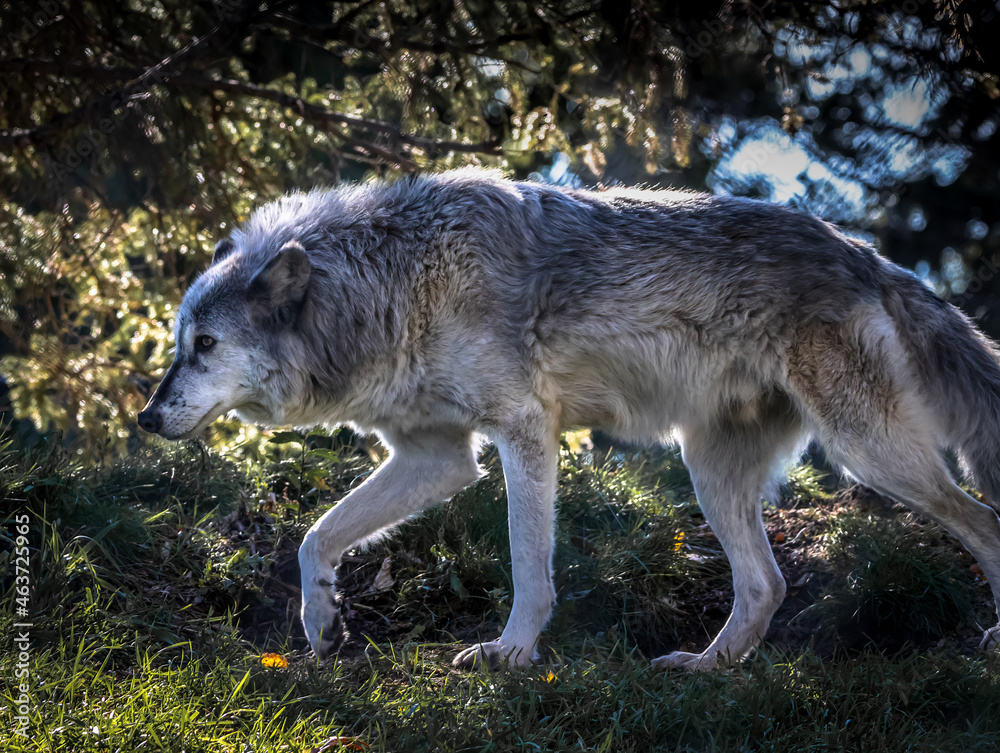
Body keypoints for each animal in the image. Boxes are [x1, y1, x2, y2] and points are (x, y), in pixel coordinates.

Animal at [138, 168, 1000, 670]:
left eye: (205, 345)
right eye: (181, 343)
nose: (146, 417)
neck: (392, 283)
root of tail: (865, 253)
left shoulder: (523, 428)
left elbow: (529, 564)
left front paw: (512, 652)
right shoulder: (437, 457)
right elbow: (315, 534)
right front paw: (322, 623)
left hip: (868, 454)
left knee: (980, 519)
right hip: (710, 469)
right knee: (766, 584)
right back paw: (703, 668)